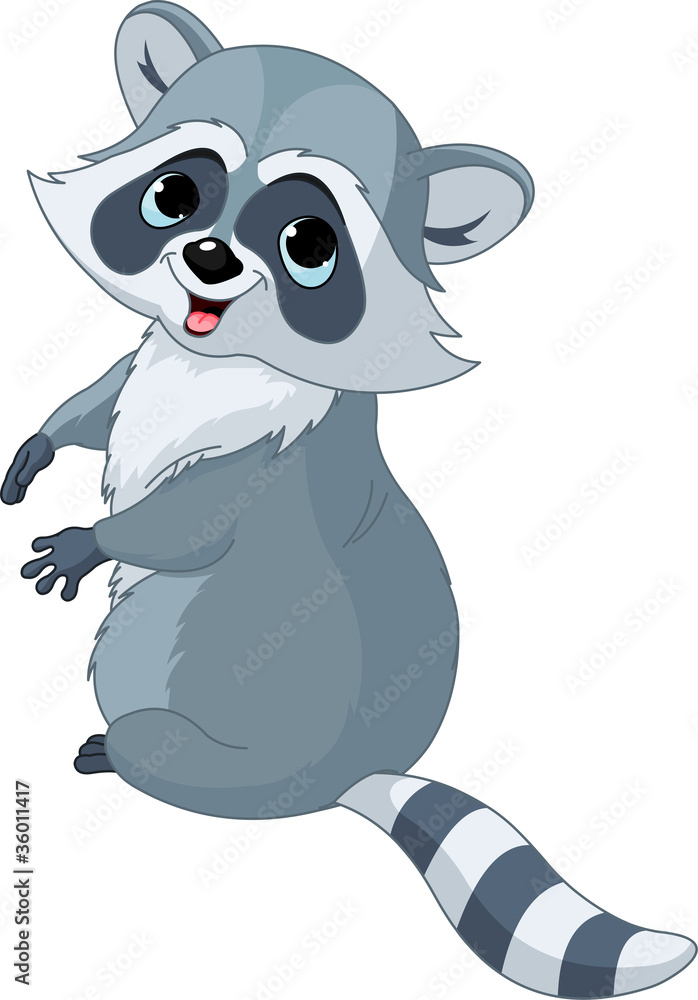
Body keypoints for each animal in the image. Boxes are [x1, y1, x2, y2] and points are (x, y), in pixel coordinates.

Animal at [3, 4, 694, 997]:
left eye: (308, 243)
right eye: (176, 194)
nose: (207, 258)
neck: (220, 353)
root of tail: (348, 774)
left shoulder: (272, 454)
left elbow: (190, 528)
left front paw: (94, 539)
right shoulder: (151, 361)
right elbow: (104, 403)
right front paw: (47, 437)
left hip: (219, 737)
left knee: (159, 732)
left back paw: (123, 757)